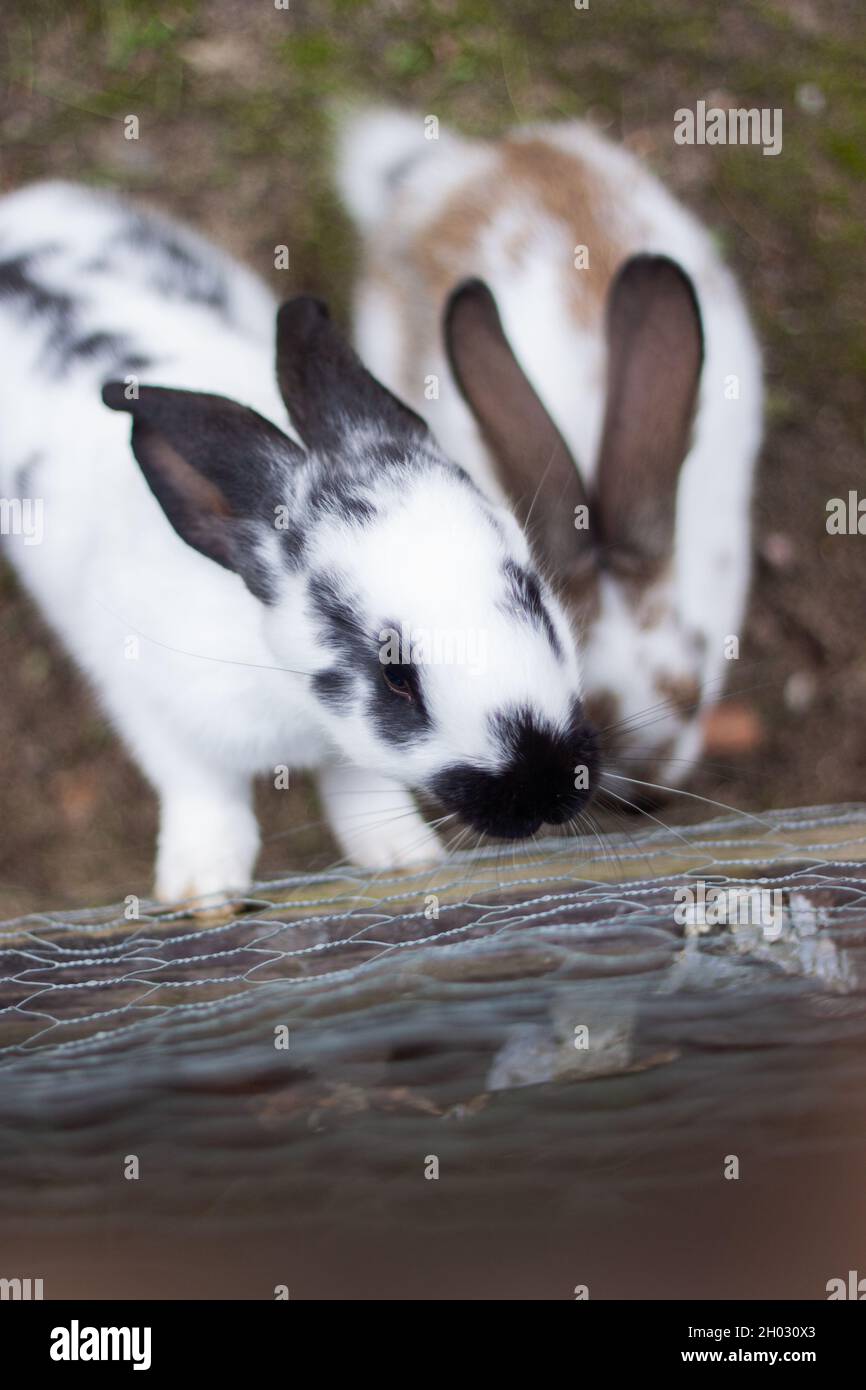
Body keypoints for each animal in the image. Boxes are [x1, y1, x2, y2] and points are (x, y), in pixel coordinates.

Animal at [0, 181, 601, 905]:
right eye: (394, 675)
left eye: (535, 597)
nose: (546, 787)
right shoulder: (150, 707)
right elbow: (203, 789)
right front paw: (204, 888)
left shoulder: (350, 754)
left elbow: (362, 790)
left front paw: (402, 858)